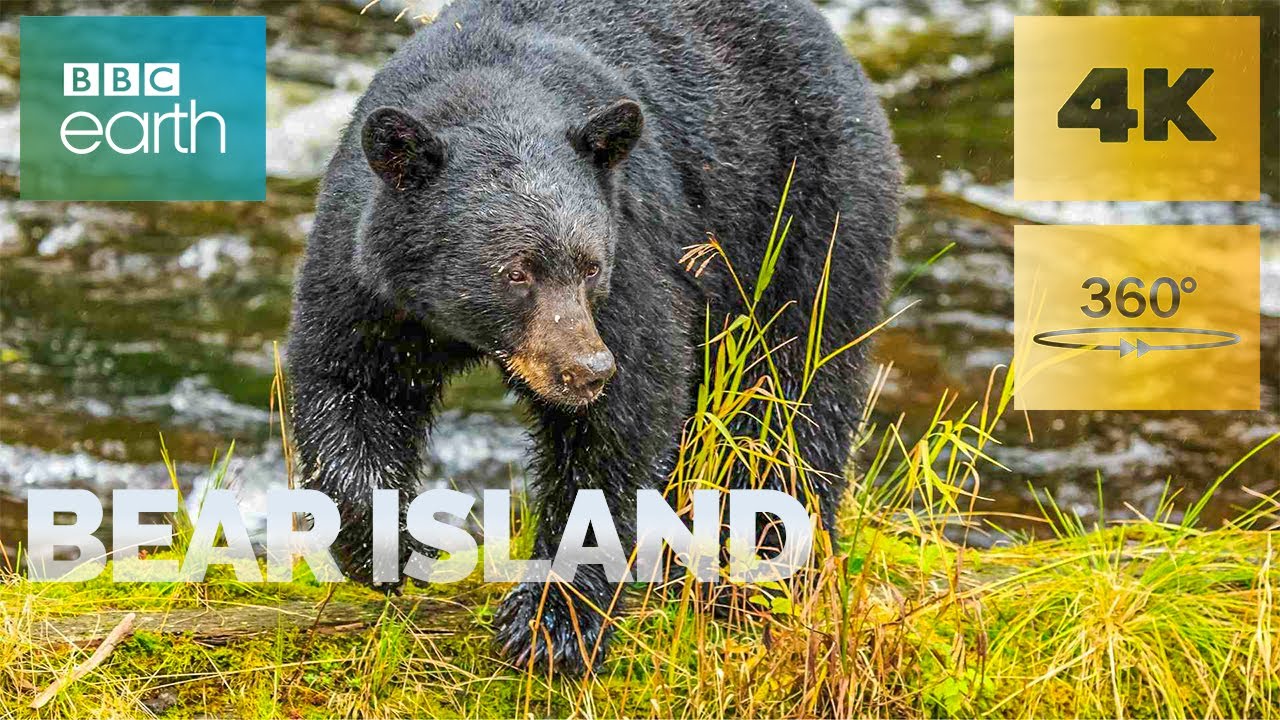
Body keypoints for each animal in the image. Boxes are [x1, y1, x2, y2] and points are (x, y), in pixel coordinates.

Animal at [287, 0, 900, 673]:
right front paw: (386, 545)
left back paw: (766, 562)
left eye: (589, 265)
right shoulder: (368, 277)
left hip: (805, 219)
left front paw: (551, 621)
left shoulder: (634, 247)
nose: (586, 369)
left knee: (794, 396)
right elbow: (351, 383)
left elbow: (623, 420)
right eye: (515, 271)